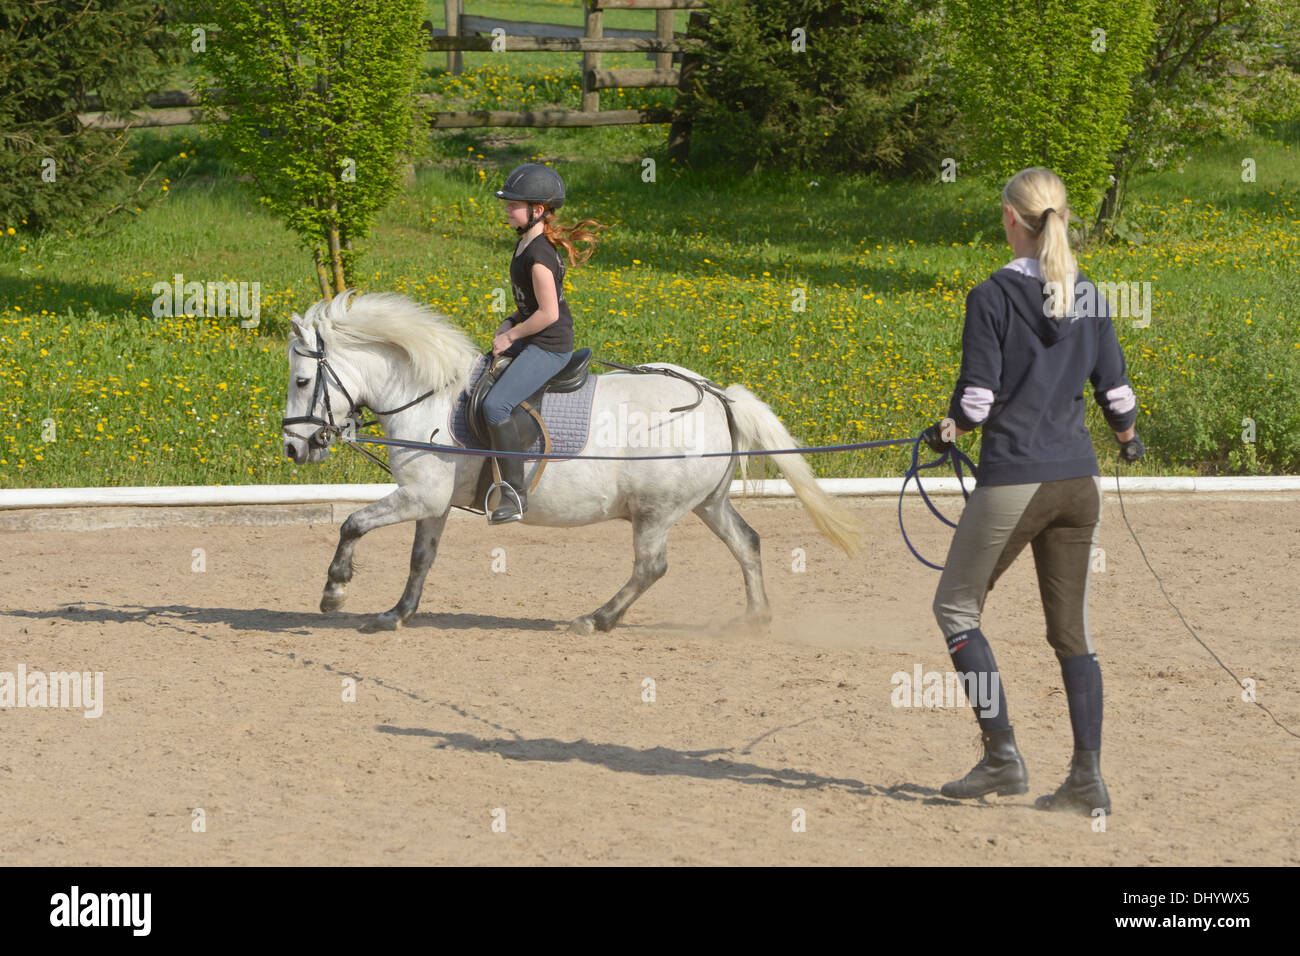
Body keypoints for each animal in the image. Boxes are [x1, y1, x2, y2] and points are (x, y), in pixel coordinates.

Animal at [280, 291, 862, 633]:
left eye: (303, 381)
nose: (293, 448)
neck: (427, 394)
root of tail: (716, 395)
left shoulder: (419, 495)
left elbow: (354, 523)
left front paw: (334, 591)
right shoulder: (433, 502)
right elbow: (421, 558)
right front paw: (395, 614)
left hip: (654, 511)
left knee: (652, 566)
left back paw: (596, 619)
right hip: (706, 504)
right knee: (747, 543)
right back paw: (756, 618)